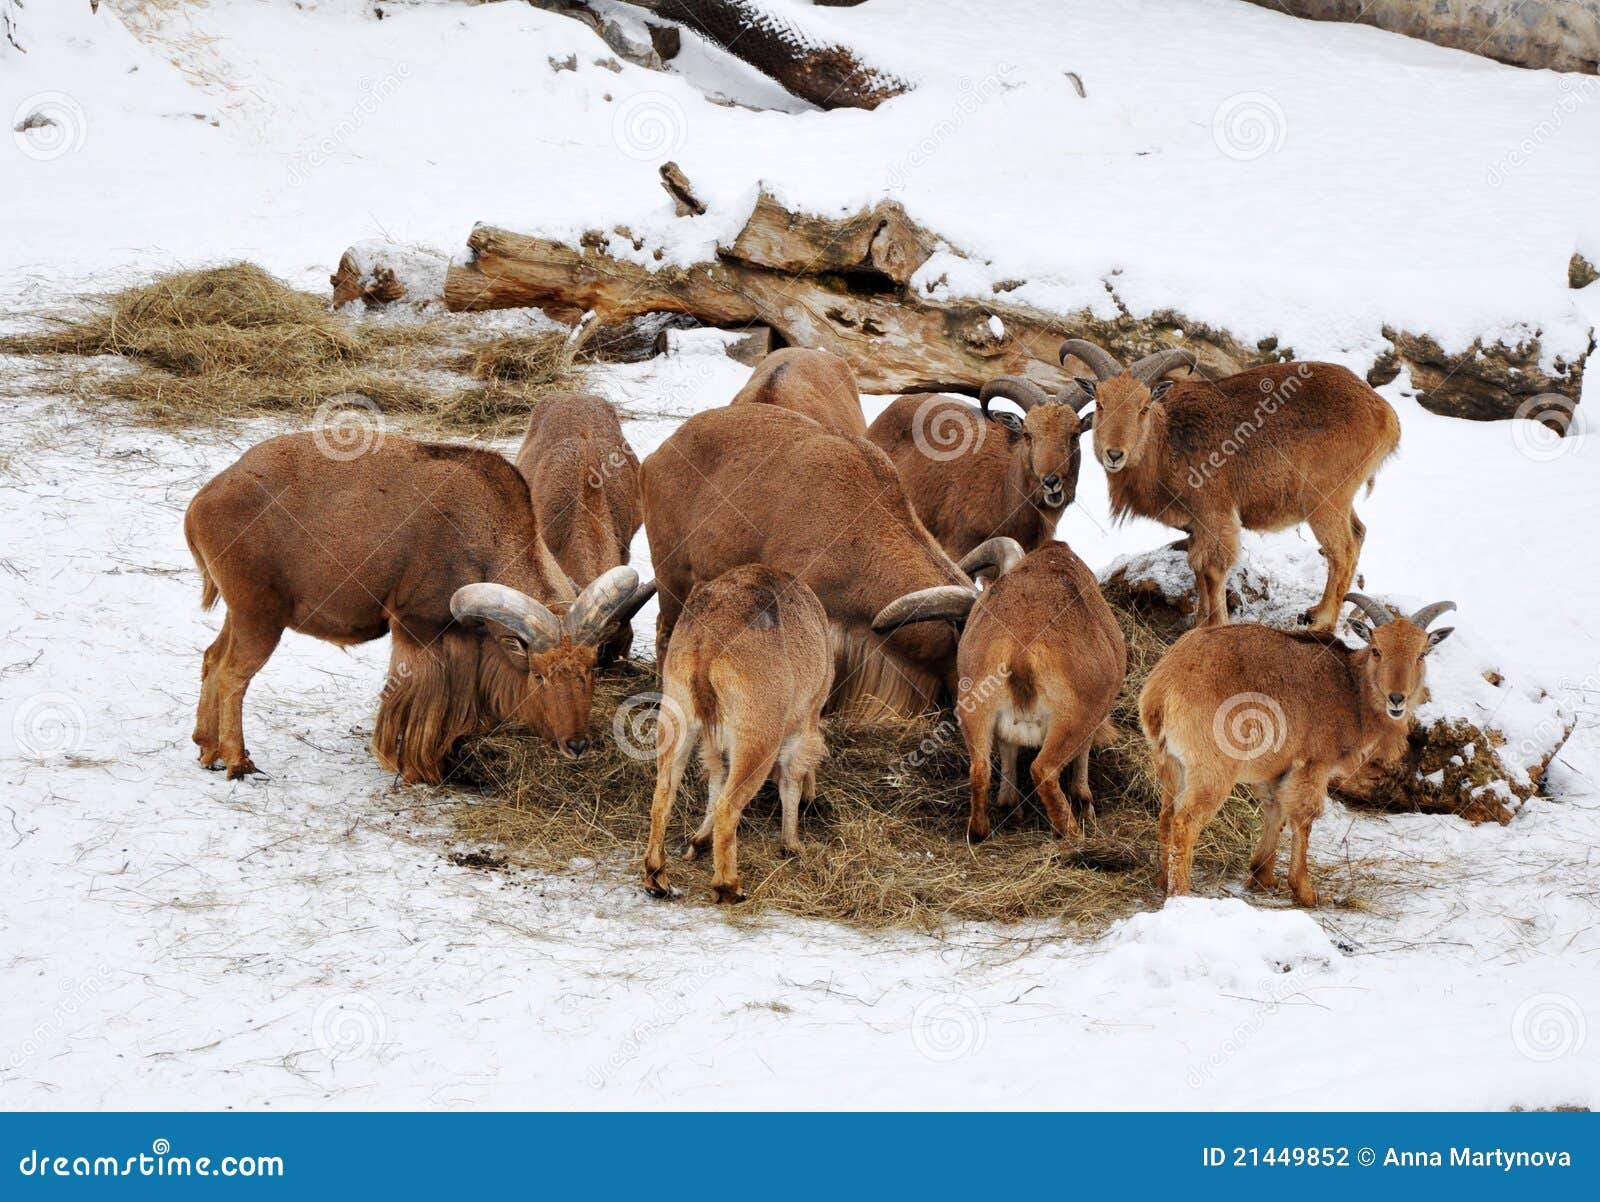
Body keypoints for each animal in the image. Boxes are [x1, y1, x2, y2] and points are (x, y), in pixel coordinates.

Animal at [184, 432, 653, 783]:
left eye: (590, 668)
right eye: (539, 675)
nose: (576, 743)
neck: (483, 530)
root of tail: (201, 504)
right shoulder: (418, 628)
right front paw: (417, 768)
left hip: (240, 614)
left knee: (212, 658)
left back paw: (207, 748)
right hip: (260, 615)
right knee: (233, 675)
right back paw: (237, 760)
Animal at [642, 565, 833, 904]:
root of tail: (707, 641)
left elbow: (716, 777)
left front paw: (698, 841)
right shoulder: (803, 724)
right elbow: (791, 779)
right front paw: (792, 844)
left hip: (677, 712)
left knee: (664, 793)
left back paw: (657, 876)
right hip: (756, 736)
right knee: (728, 807)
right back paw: (729, 886)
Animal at [873, 541, 1125, 842]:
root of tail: (1023, 651)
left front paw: (1010, 806)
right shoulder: (1095, 714)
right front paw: (1085, 806)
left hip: (975, 708)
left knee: (980, 770)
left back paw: (980, 830)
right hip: (1072, 719)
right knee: (1043, 770)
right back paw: (1071, 831)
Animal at [1060, 338, 1400, 631]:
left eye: (1143, 407)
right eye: (1100, 403)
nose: (1115, 454)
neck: (1167, 440)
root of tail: (1385, 414)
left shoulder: (1217, 514)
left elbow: (1214, 569)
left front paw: (1216, 626)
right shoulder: (1197, 526)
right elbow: (1198, 570)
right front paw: (1198, 623)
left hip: (1324, 499)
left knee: (1342, 550)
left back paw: (1323, 623)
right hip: (1342, 498)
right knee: (1358, 533)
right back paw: (1315, 611)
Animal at [1139, 593, 1456, 906]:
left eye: (1421, 654)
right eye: (1377, 649)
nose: (1396, 698)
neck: (1352, 689)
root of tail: (1164, 687)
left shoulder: (1278, 770)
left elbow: (1275, 809)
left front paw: (1262, 876)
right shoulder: (1314, 765)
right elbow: (1304, 817)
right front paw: (1305, 891)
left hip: (1169, 764)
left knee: (1166, 816)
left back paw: (1162, 881)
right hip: (1212, 771)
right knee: (1185, 822)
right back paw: (1181, 893)